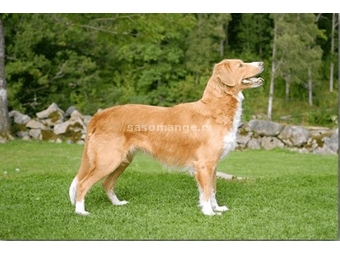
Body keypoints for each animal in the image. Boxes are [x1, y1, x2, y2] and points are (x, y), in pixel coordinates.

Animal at [67, 59, 262, 215]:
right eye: (240, 65)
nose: (262, 63)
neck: (215, 108)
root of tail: (100, 114)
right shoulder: (205, 164)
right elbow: (207, 192)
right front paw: (209, 212)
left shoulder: (212, 165)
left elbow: (212, 190)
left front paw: (216, 208)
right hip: (108, 160)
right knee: (83, 184)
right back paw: (81, 211)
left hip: (122, 161)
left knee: (106, 184)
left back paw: (118, 203)